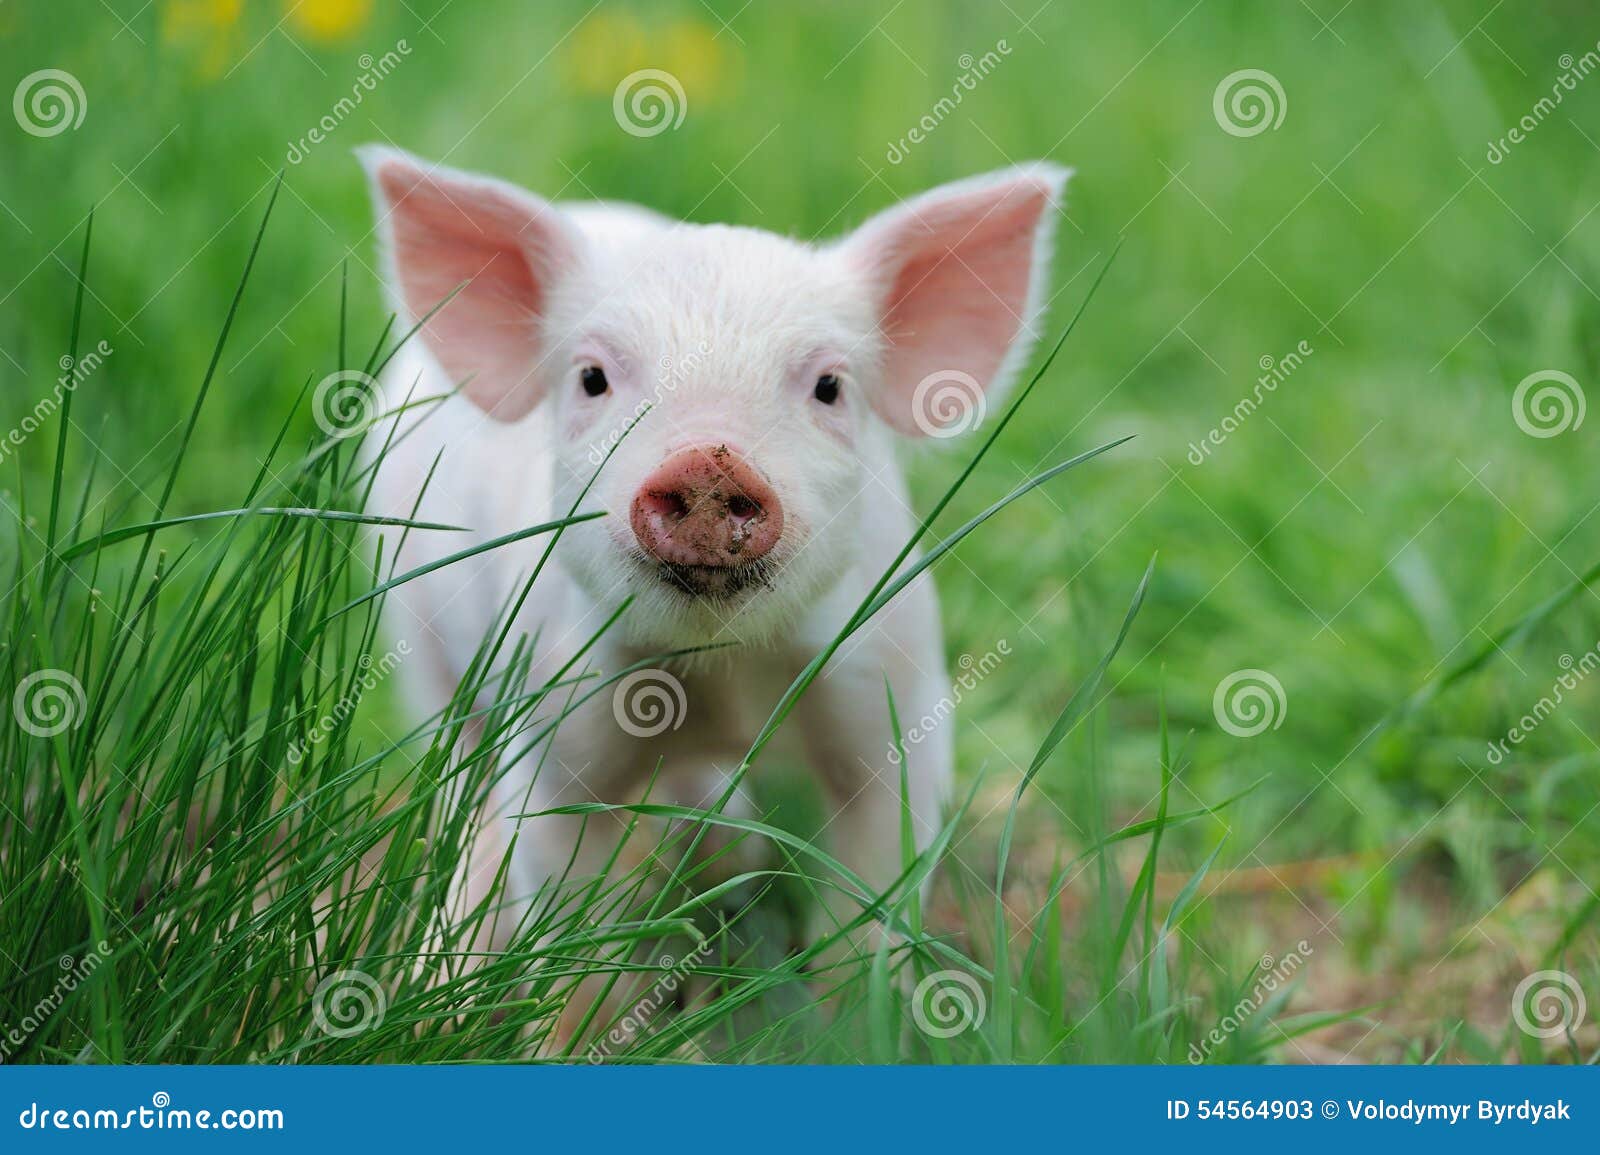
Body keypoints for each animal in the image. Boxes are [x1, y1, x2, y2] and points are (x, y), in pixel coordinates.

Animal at [357, 145, 1068, 973]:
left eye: (830, 386)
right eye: (592, 378)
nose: (707, 461)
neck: (723, 673)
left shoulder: (896, 696)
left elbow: (870, 895)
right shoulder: (552, 716)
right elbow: (563, 896)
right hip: (419, 635)